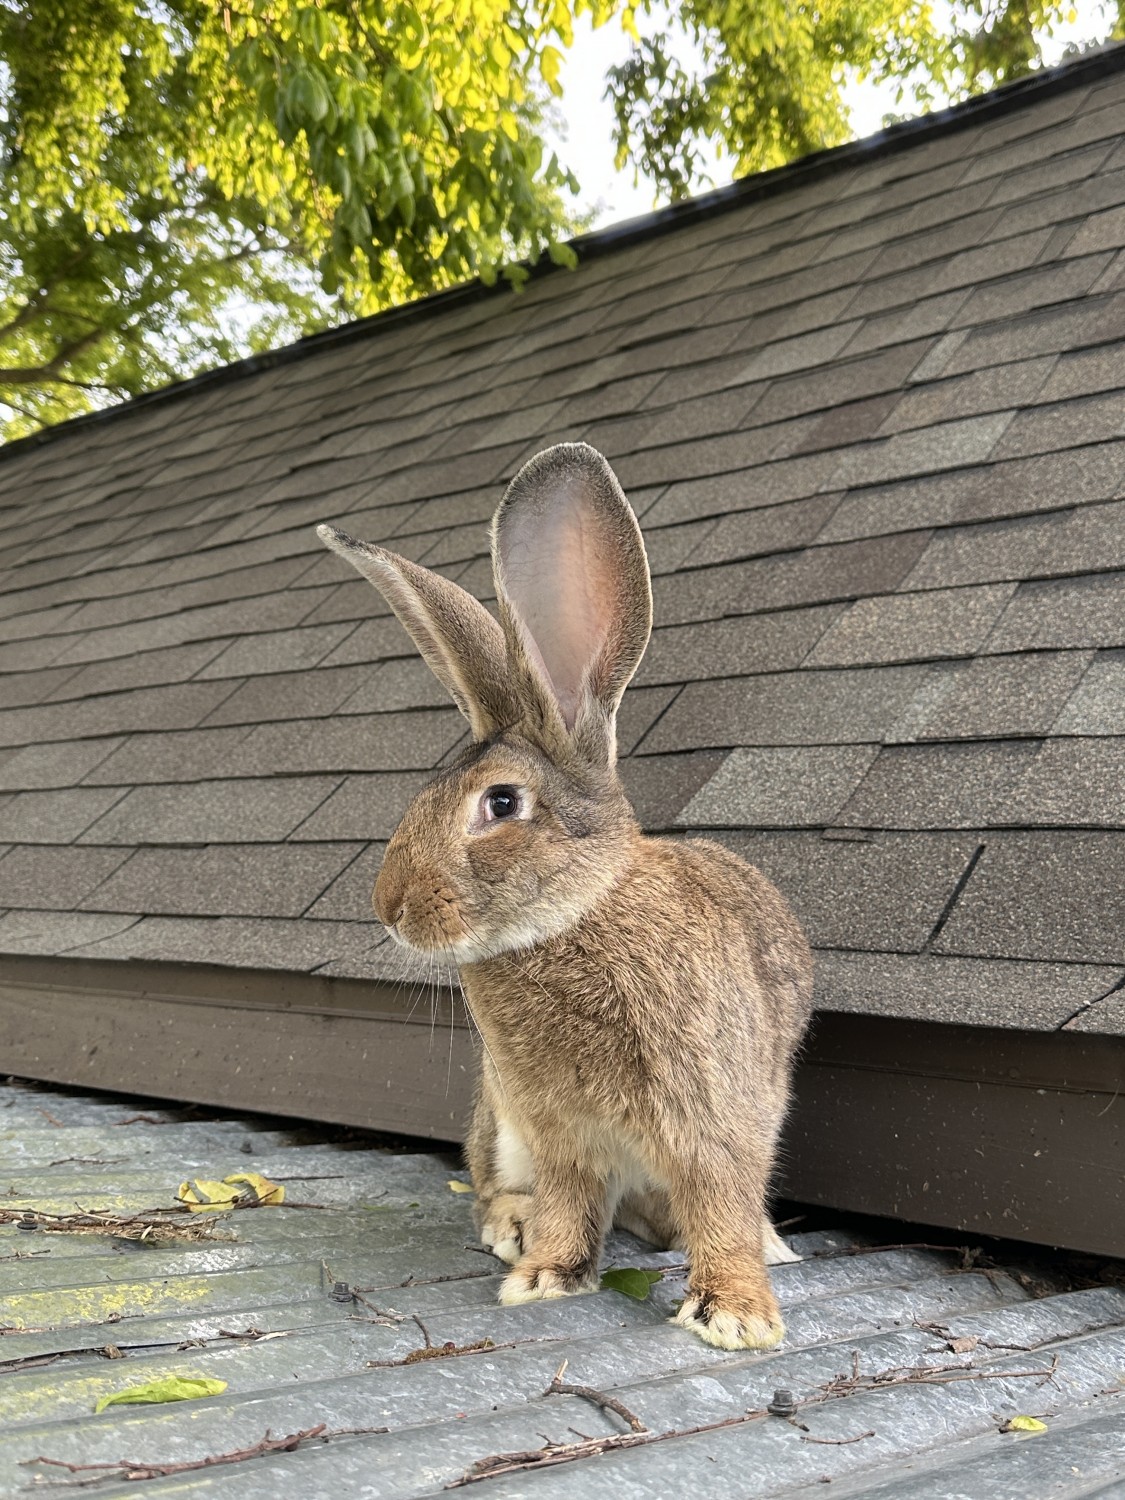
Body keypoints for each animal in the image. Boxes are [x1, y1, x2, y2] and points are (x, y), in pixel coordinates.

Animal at [316, 442, 813, 1350]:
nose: (389, 906)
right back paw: (513, 1229)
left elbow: (720, 1201)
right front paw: (544, 1277)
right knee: (495, 1185)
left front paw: (735, 1315)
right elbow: (571, 1199)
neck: (571, 920)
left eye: (501, 804)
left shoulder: (713, 1115)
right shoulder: (557, 1133)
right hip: (499, 1119)